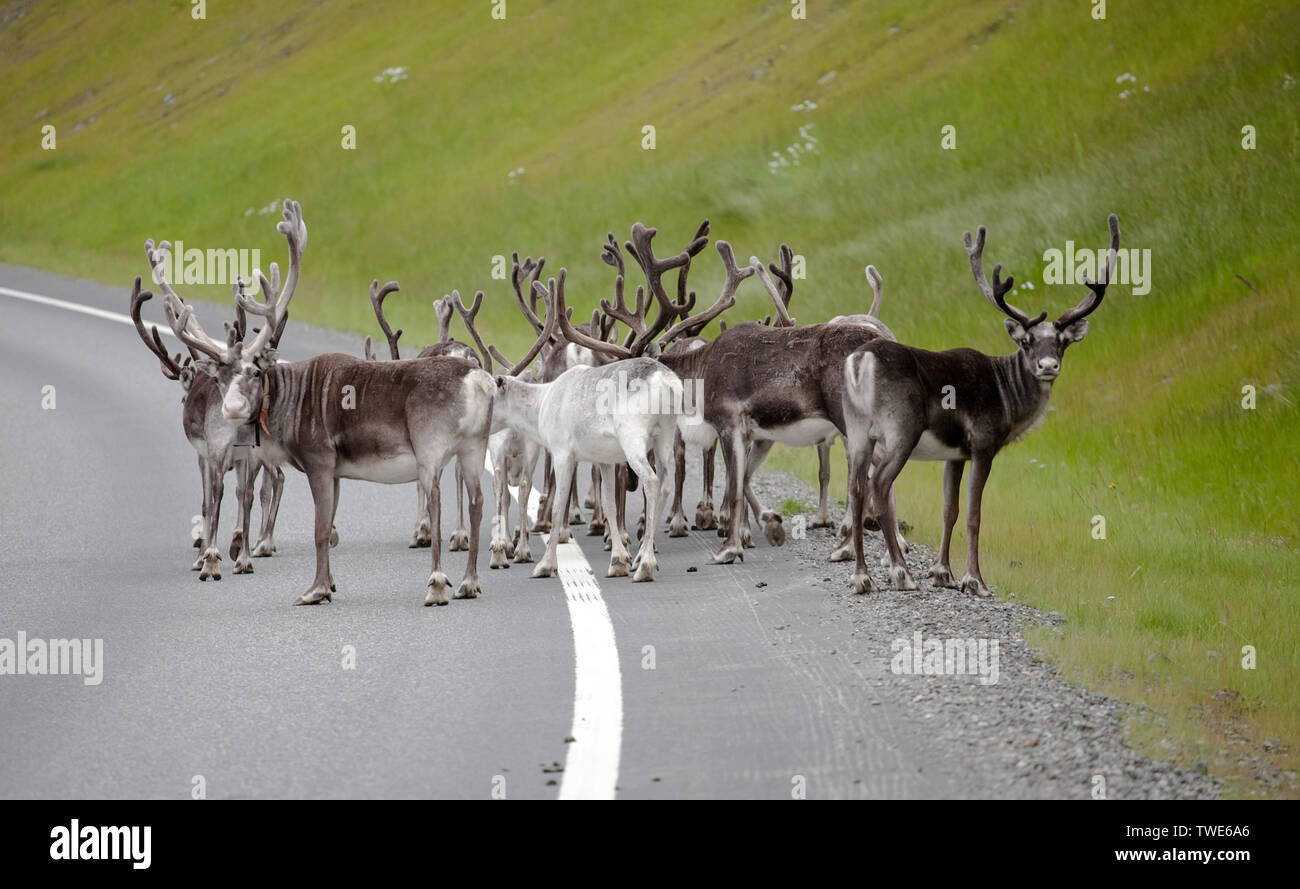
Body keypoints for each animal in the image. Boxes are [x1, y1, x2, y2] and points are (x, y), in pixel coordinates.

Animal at [151, 199, 495, 606]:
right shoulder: (336, 471)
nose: (232, 409)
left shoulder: (319, 459)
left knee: (438, 498)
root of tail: (477, 378)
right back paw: (469, 583)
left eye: (254, 372)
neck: (288, 403)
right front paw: (329, 584)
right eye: (218, 378)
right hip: (474, 445)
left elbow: (318, 530)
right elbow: (329, 527)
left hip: (431, 446)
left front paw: (314, 590)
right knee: (476, 502)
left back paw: (438, 584)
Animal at [841, 214, 1119, 597]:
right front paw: (974, 579)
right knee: (879, 486)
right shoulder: (983, 444)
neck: (1008, 396)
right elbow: (974, 514)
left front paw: (942, 572)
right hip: (900, 428)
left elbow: (950, 510)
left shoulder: (955, 453)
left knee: (855, 488)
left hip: (856, 431)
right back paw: (900, 573)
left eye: (1062, 342)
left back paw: (861, 576)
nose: (1048, 365)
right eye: (1027, 341)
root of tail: (860, 362)